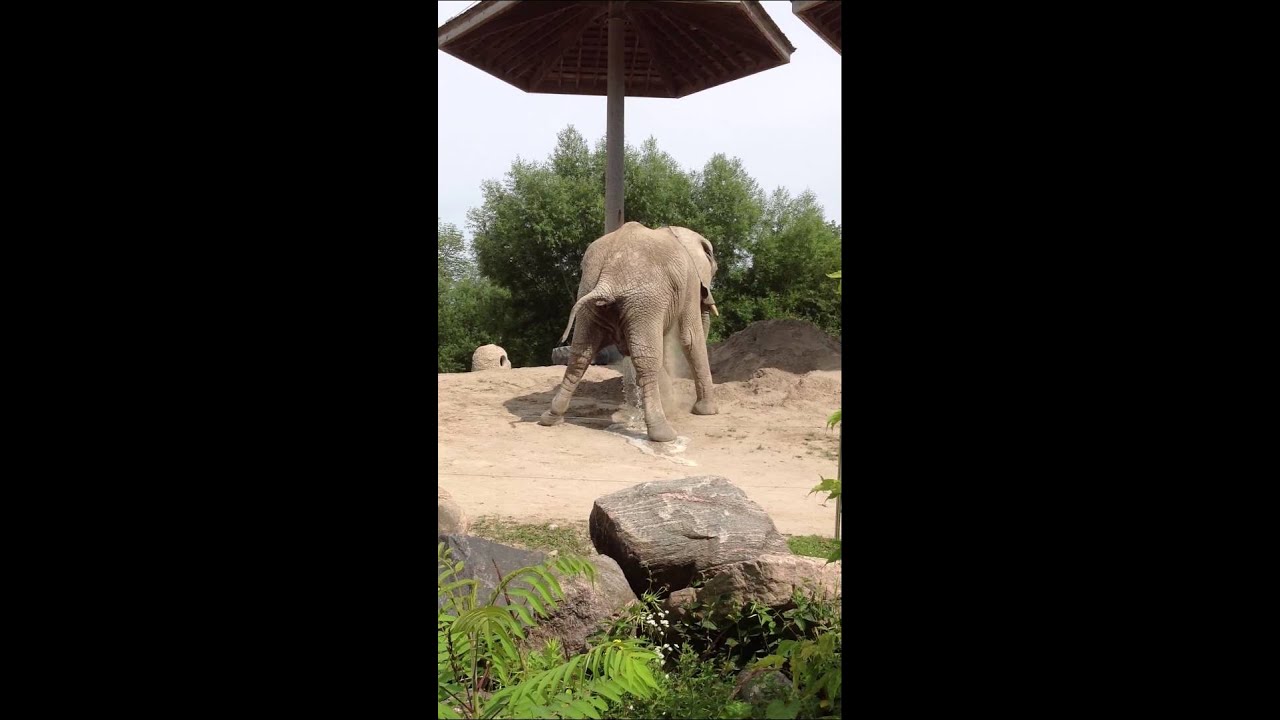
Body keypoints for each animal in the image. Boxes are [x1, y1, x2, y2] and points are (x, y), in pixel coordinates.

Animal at [538, 222, 719, 442]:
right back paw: (664, 434)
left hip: (591, 294)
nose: (708, 299)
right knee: (646, 359)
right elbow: (690, 337)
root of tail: (606, 279)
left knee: (580, 355)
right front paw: (707, 411)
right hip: (644, 300)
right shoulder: (690, 280)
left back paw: (550, 418)